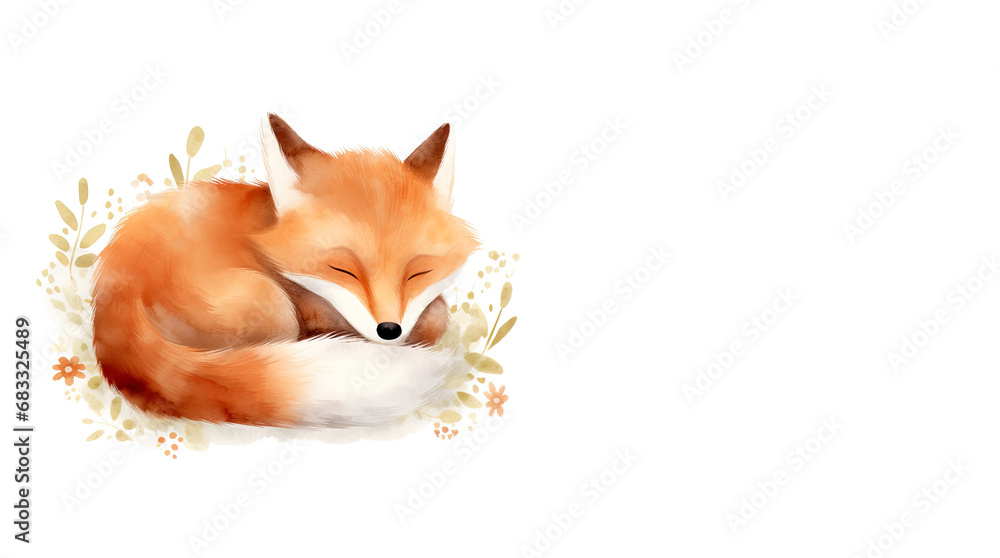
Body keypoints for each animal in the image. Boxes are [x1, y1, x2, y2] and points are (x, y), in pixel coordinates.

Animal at [92, 114, 479, 428]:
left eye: (419, 272)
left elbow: (437, 313)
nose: (389, 330)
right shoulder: (304, 304)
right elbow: (430, 319)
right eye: (342, 270)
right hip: (268, 304)